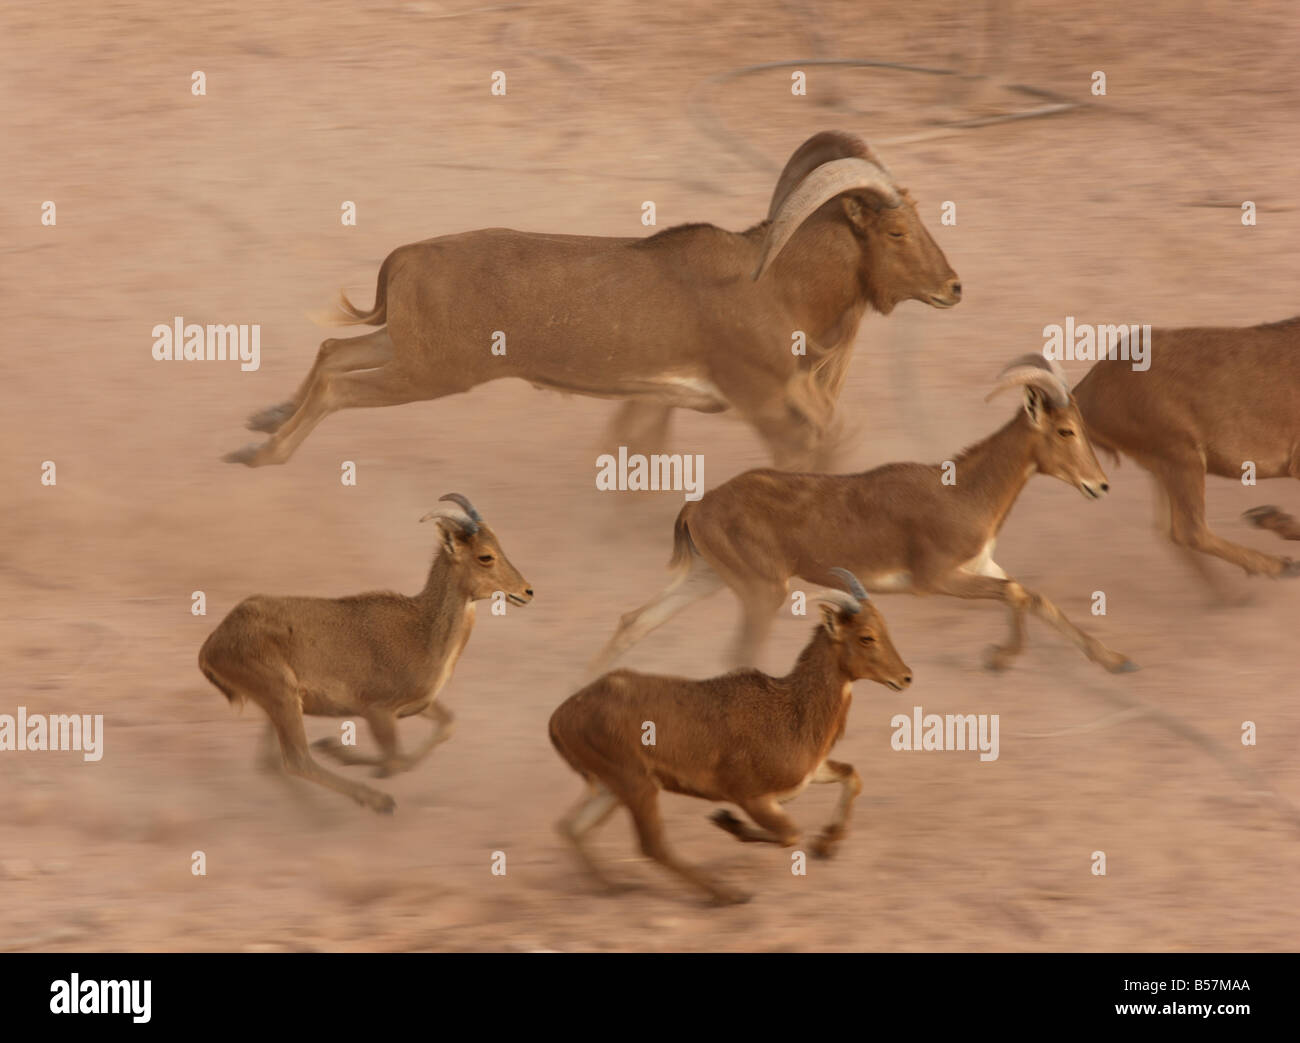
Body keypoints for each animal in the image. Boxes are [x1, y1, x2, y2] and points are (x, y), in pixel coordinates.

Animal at [198, 494, 532, 813]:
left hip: (276, 702)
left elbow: (444, 726)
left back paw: (318, 816)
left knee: (271, 762)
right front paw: (341, 753)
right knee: (297, 759)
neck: (422, 631)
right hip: (280, 693)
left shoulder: (415, 704)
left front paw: (349, 757)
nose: (527, 591)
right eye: (485, 556)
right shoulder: (377, 709)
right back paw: (372, 802)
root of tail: (211, 646)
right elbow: (395, 759)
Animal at [225, 130, 960, 470]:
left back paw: (261, 424)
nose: (953, 286)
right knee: (339, 387)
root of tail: (404, 257)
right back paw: (266, 454)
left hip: (407, 348)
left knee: (331, 353)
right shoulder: (767, 403)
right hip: (431, 371)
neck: (776, 283)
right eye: (896, 231)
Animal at [549, 568, 911, 906]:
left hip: (612, 786)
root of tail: (560, 717)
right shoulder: (750, 795)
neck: (793, 709)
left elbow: (851, 776)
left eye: (884, 628)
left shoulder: (809, 774)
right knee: (652, 845)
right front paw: (728, 821)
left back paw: (612, 886)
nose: (905, 677)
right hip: (635, 783)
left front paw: (826, 843)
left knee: (573, 827)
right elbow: (789, 834)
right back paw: (727, 894)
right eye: (866, 637)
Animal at [589, 355, 1136, 677]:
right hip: (761, 590)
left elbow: (1035, 597)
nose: (1100, 485)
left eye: (1079, 425)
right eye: (1064, 430)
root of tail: (697, 507)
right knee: (736, 655)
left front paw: (1117, 660)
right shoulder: (936, 579)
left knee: (634, 621)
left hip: (706, 576)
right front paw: (1000, 657)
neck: (966, 491)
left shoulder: (982, 566)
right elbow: (1019, 594)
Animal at [1070, 316, 1300, 589]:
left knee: (1167, 529)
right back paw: (1277, 564)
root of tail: (1083, 391)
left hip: (1161, 463)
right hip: (1180, 453)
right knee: (1189, 530)